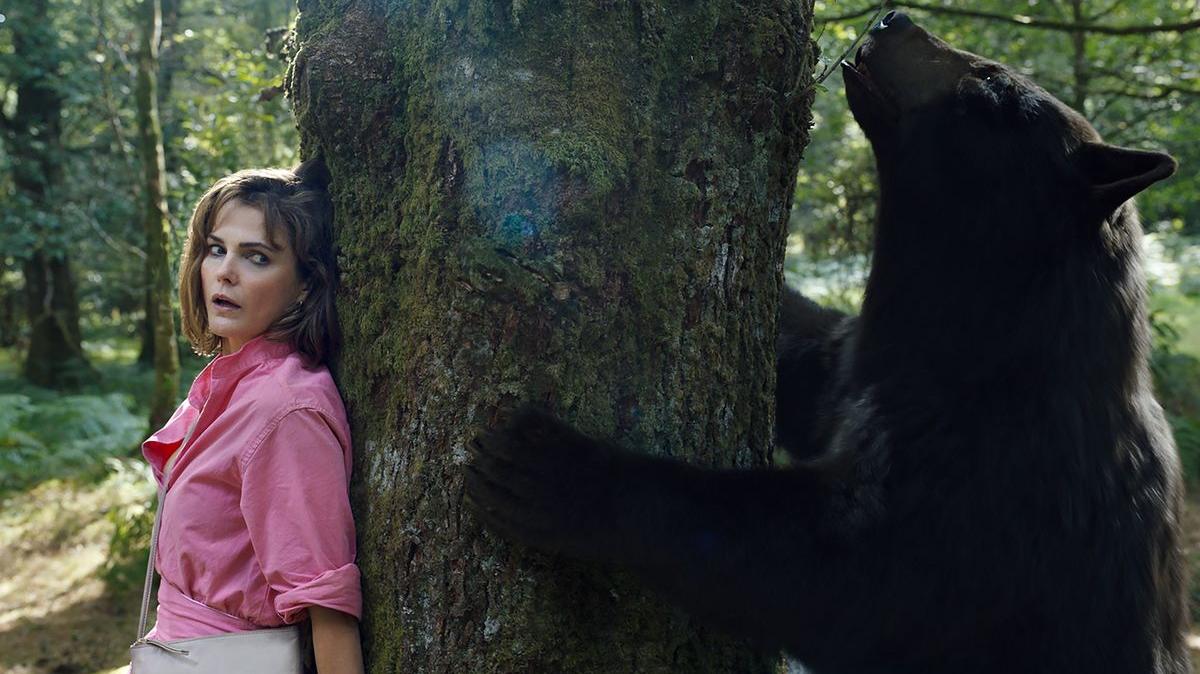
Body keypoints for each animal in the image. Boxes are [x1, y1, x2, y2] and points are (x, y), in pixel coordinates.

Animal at [466, 12, 1187, 674]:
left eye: (993, 86)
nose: (894, 18)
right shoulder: (863, 366)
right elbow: (809, 362)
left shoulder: (996, 486)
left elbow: (839, 577)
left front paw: (560, 472)